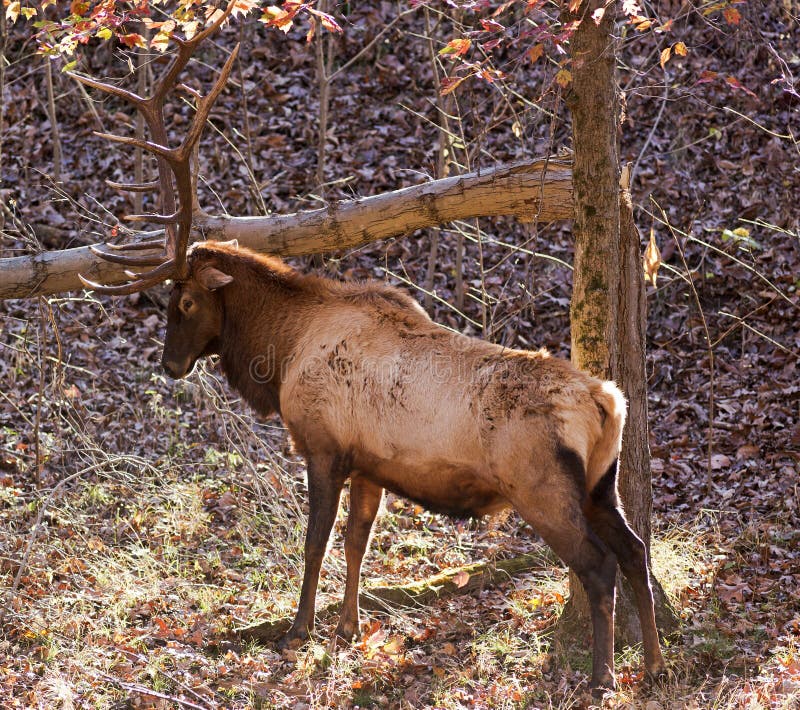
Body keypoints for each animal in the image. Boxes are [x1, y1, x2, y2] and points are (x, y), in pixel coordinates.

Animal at [76, 4, 666, 693]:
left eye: (185, 302)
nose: (169, 365)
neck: (283, 350)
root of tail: (607, 403)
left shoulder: (324, 444)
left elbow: (315, 542)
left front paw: (300, 629)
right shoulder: (370, 464)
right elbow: (358, 542)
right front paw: (349, 628)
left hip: (542, 485)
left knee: (598, 566)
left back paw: (603, 677)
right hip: (602, 480)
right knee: (635, 549)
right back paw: (655, 663)